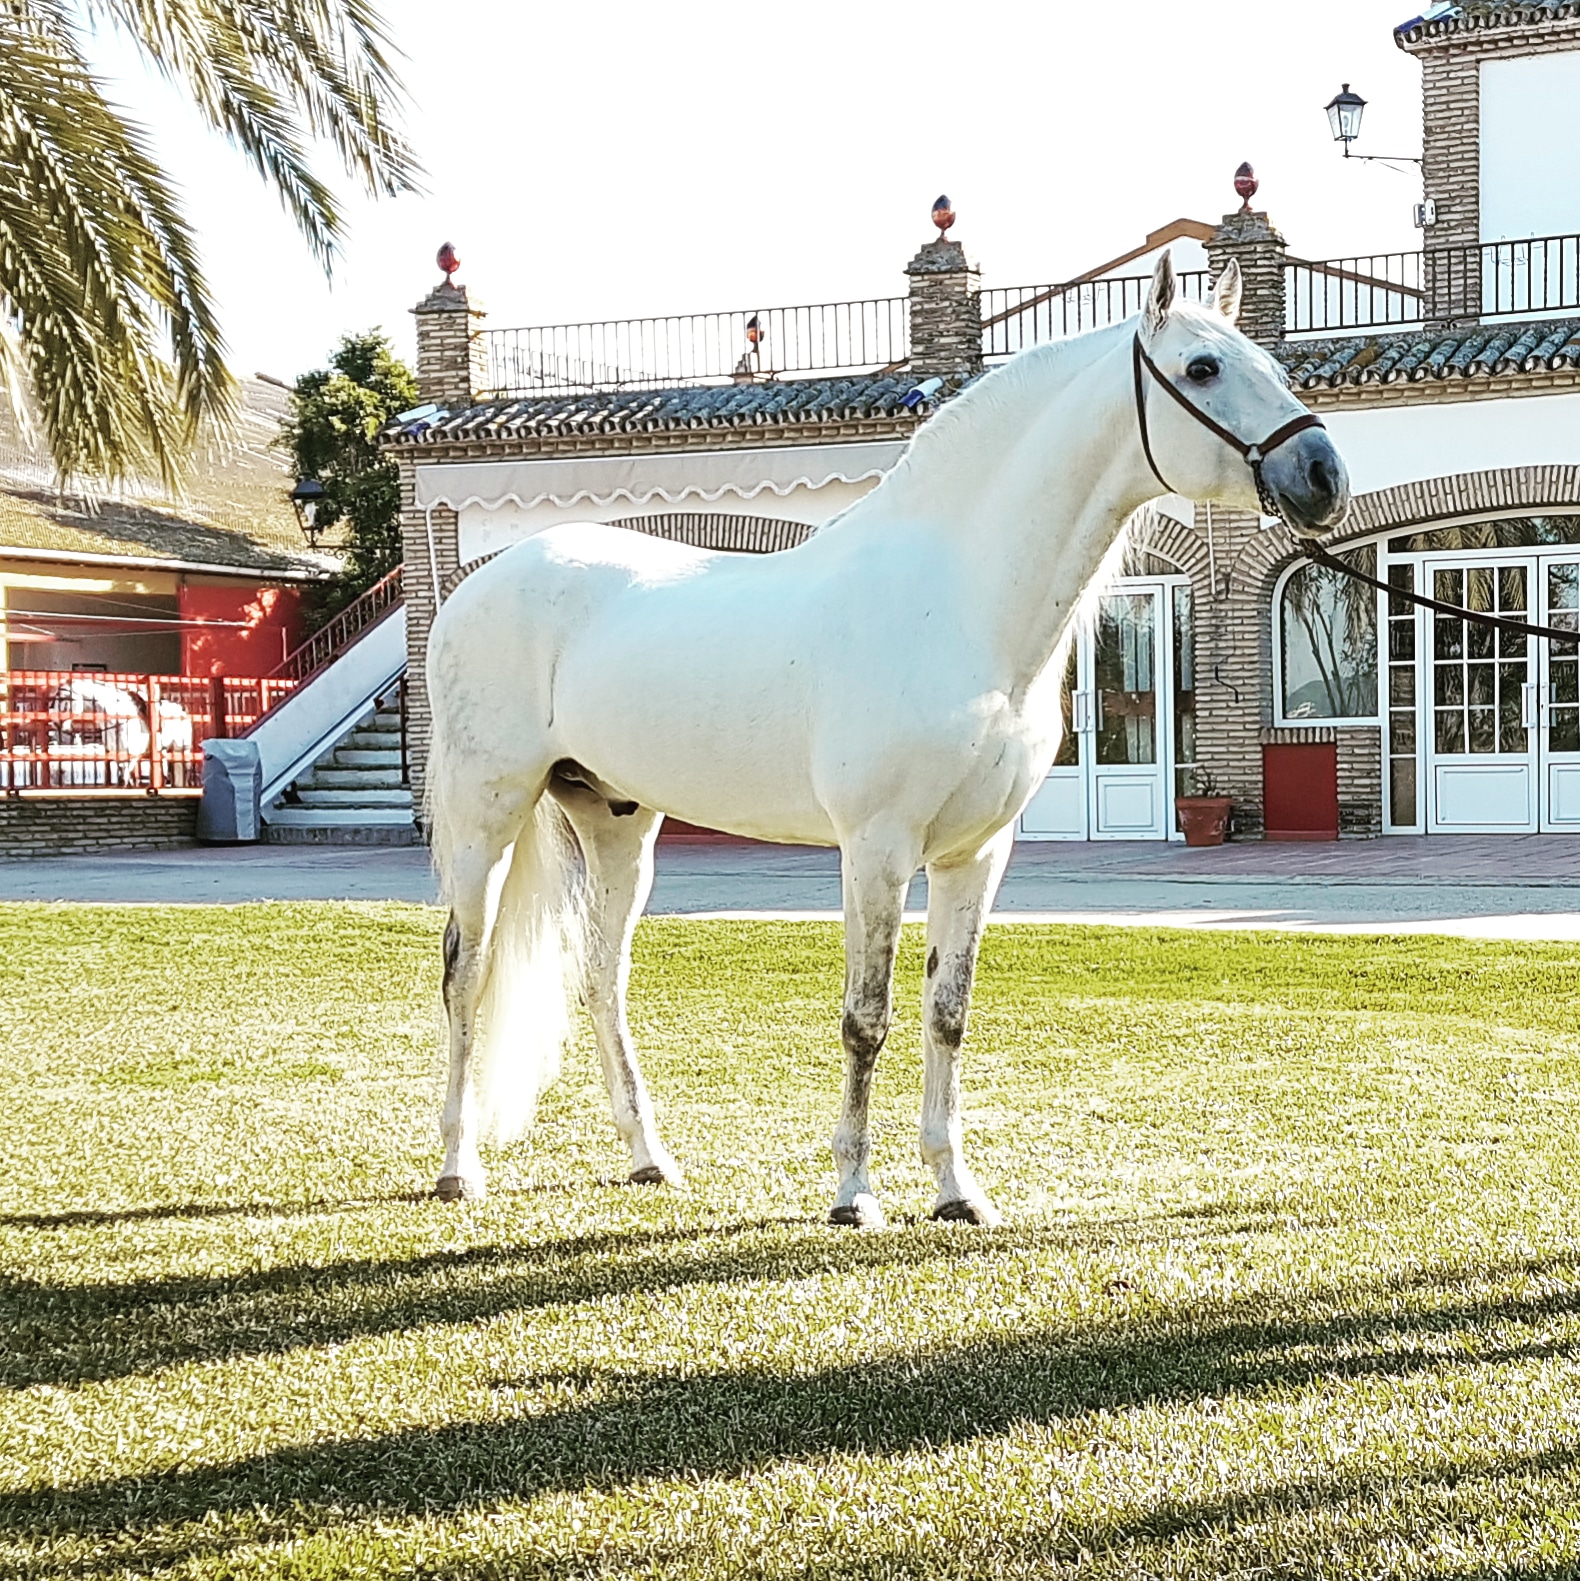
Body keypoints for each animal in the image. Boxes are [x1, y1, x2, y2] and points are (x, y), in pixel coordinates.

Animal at [422, 252, 1350, 1227]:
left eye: (1275, 366)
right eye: (1203, 368)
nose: (1322, 474)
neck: (955, 601)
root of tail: (477, 587)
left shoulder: (975, 854)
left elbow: (948, 1011)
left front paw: (955, 1189)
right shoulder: (875, 849)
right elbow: (865, 1017)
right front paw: (853, 1193)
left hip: (618, 823)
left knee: (603, 974)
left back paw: (649, 1157)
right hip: (488, 818)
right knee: (465, 972)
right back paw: (458, 1166)